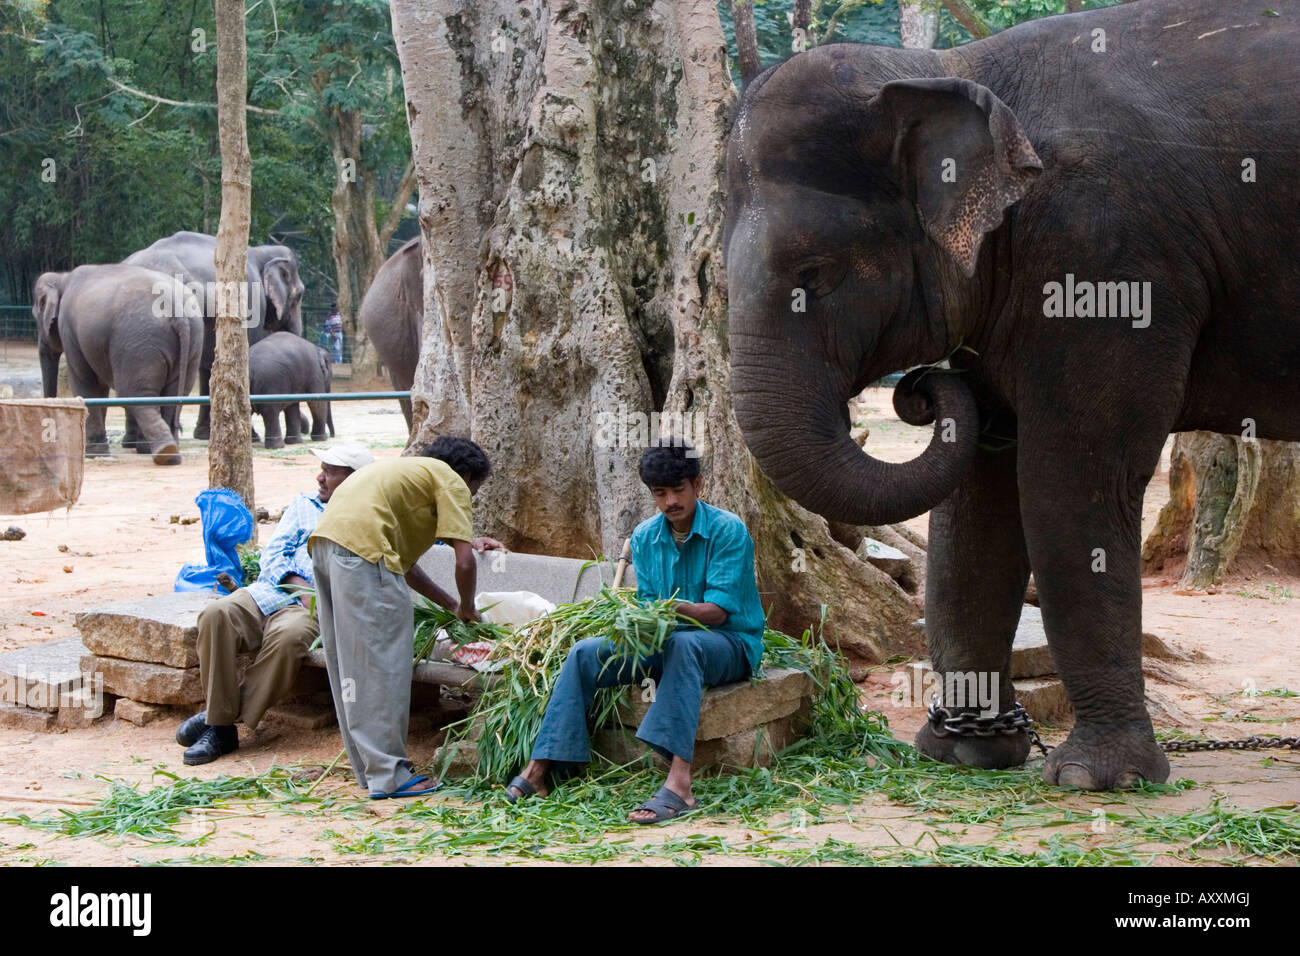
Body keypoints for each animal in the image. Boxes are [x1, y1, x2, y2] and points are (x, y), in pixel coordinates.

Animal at [33, 265, 202, 466]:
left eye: (36, 316)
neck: (62, 277)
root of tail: (177, 311)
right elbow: (100, 388)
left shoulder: (70, 332)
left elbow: (86, 381)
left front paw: (94, 453)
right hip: (191, 343)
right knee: (173, 395)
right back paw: (167, 452)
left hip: (139, 343)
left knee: (136, 395)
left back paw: (164, 453)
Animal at [124, 231, 305, 440]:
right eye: (300, 294)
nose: (306, 427)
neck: (261, 251)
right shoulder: (251, 306)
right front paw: (250, 436)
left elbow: (210, 367)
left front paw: (204, 434)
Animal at [723, 0, 1300, 790]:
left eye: (816, 272)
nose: (922, 392)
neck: (957, 70)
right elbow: (978, 503)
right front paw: (964, 752)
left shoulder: (1107, 258)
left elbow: (1070, 481)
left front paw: (1099, 778)